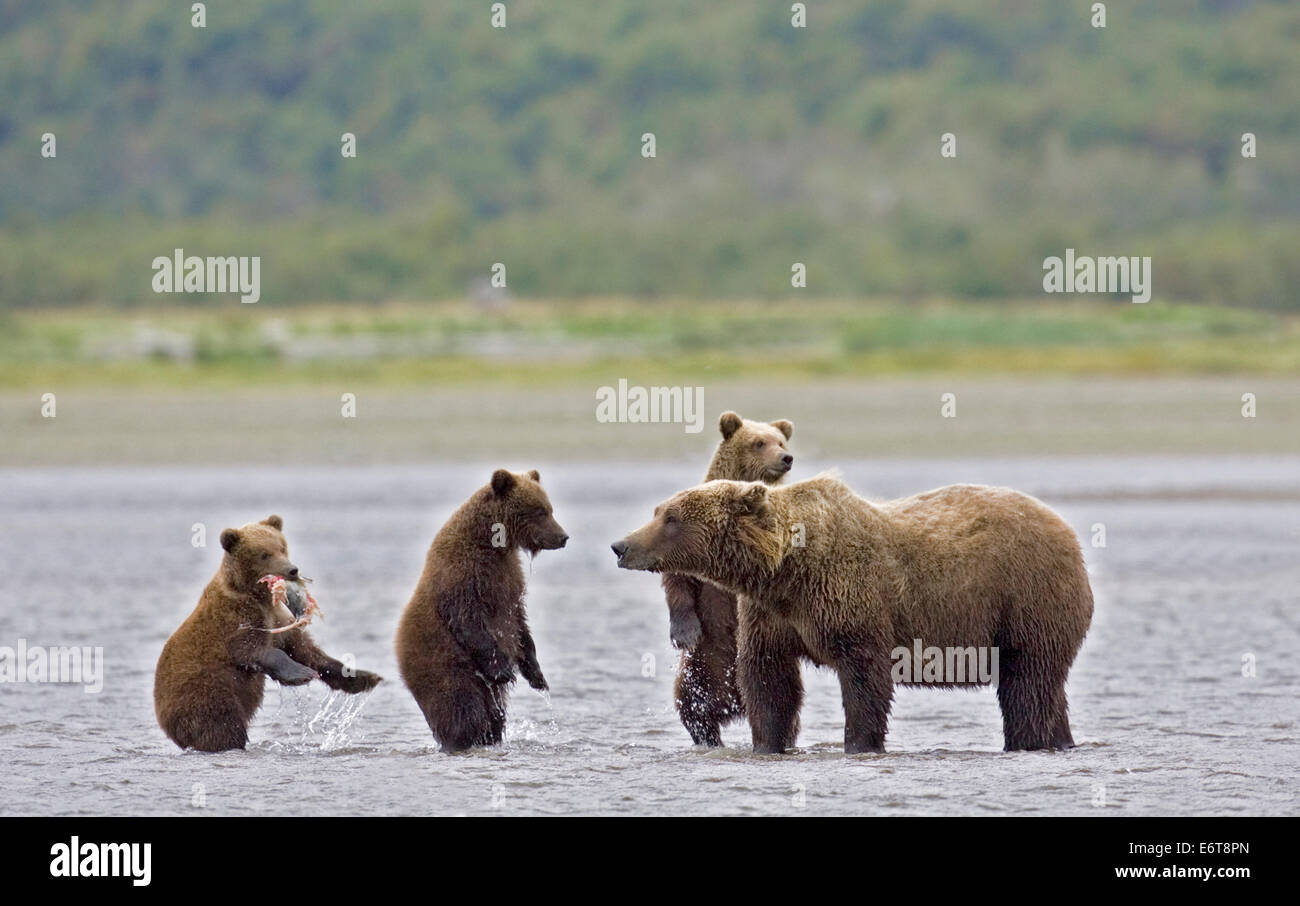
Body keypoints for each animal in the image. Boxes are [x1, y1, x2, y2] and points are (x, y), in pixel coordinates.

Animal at [154, 515, 382, 752]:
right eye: (264, 554)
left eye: (281, 547)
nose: (292, 570)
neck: (260, 596)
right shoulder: (235, 619)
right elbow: (254, 650)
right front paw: (302, 673)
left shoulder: (280, 619)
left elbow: (307, 650)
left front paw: (364, 676)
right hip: (206, 695)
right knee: (222, 727)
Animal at [396, 469, 568, 753]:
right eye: (539, 511)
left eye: (549, 508)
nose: (563, 537)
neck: (491, 542)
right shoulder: (464, 574)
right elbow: (468, 619)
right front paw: (504, 669)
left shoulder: (510, 578)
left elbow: (520, 624)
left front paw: (537, 676)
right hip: (446, 666)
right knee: (464, 711)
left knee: (493, 715)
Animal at [612, 476, 1093, 755]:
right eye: (659, 511)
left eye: (671, 517)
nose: (621, 545)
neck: (786, 570)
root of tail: (1067, 531)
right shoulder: (771, 614)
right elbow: (768, 678)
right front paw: (767, 743)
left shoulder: (849, 600)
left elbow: (865, 678)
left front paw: (860, 744)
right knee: (1046, 688)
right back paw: (1060, 740)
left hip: (1026, 599)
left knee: (1026, 683)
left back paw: (1028, 742)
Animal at [662, 411, 794, 746]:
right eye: (758, 442)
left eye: (781, 442)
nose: (785, 458)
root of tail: (734, 705)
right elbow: (678, 581)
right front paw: (684, 632)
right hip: (700, 669)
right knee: (691, 707)